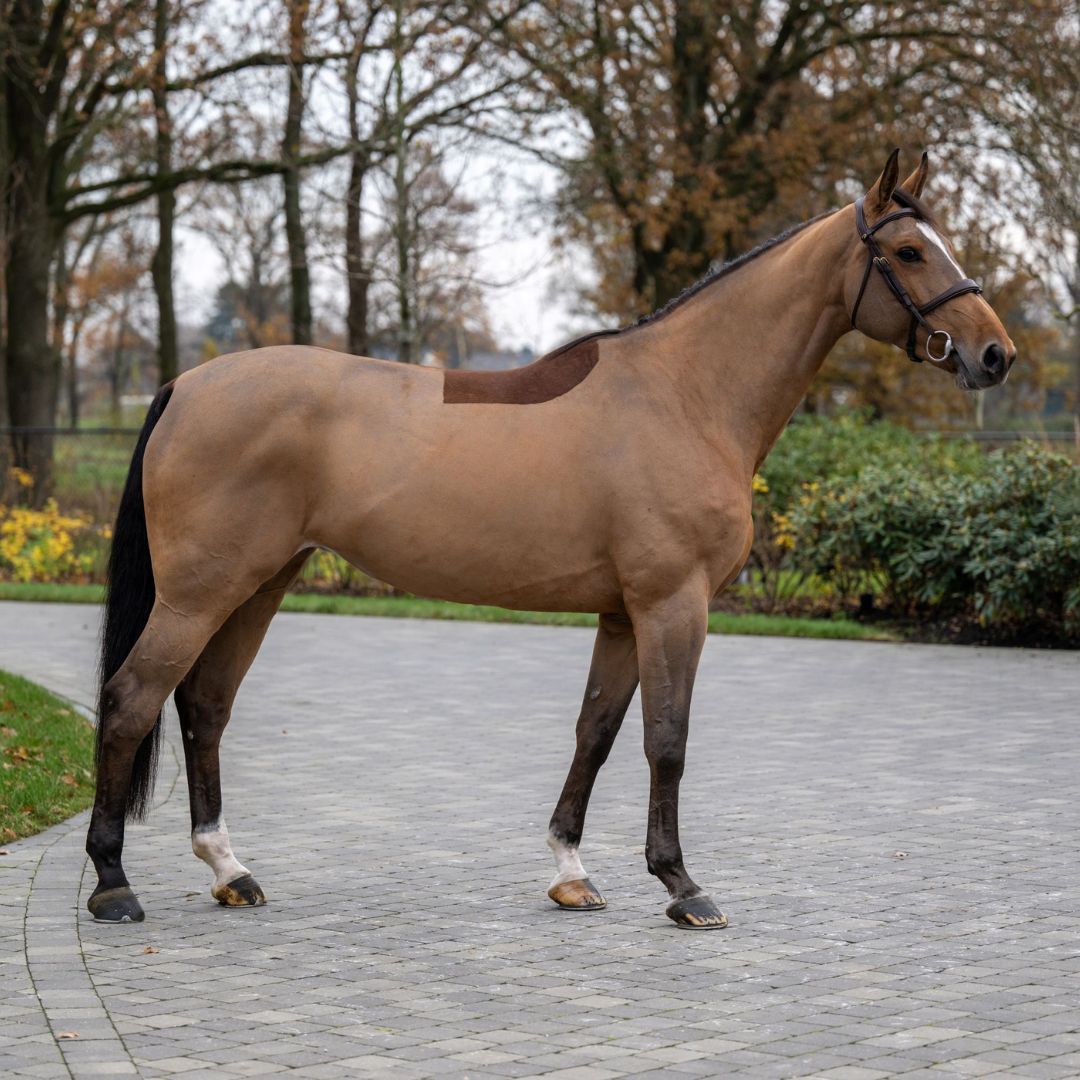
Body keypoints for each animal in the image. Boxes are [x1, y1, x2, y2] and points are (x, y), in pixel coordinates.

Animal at [87, 150, 1014, 928]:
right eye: (907, 252)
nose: (994, 355)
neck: (686, 394)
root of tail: (184, 386)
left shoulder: (622, 613)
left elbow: (595, 733)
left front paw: (572, 873)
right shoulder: (673, 605)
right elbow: (666, 741)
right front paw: (683, 886)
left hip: (262, 581)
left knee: (204, 706)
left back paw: (229, 870)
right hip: (201, 591)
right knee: (132, 699)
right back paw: (112, 885)